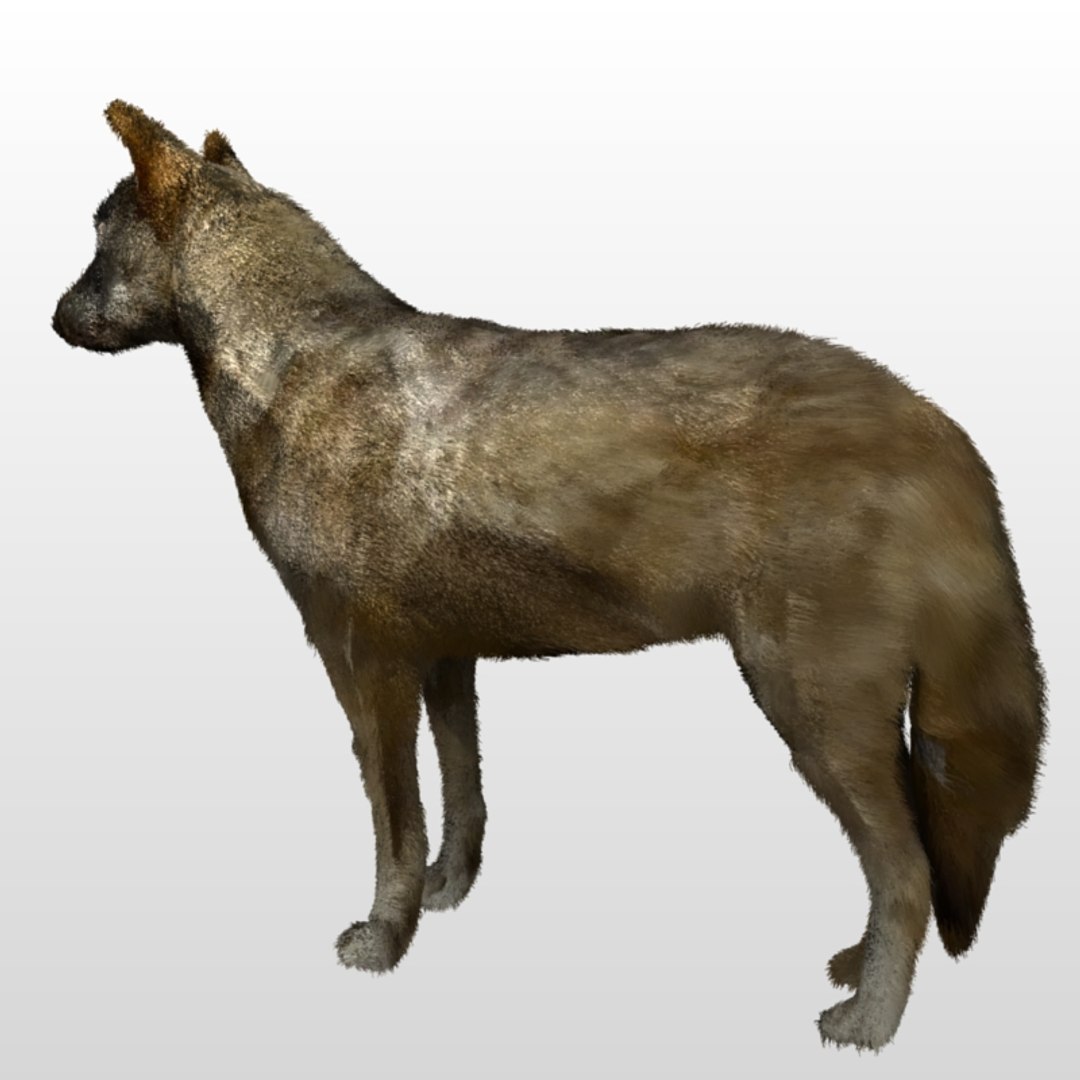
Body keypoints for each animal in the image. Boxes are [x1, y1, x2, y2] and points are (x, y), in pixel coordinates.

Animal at [52, 102, 1046, 1051]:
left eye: (98, 235)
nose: (54, 316)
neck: (294, 364)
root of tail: (937, 423)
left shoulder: (363, 664)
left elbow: (395, 825)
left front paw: (385, 939)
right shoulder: (443, 661)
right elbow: (462, 797)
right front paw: (448, 893)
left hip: (810, 705)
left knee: (907, 868)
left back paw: (870, 1022)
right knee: (910, 858)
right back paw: (857, 964)